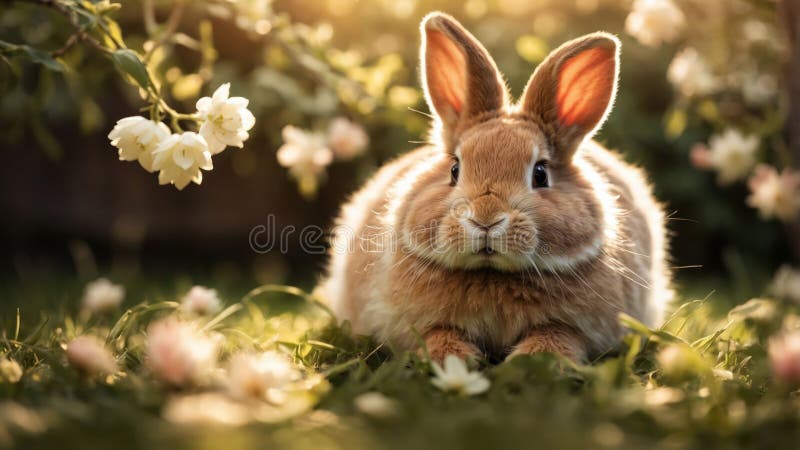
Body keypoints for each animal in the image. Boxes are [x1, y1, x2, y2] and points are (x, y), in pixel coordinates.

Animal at [321, 12, 671, 363]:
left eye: (540, 174)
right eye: (455, 169)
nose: (485, 220)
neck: (491, 275)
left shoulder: (576, 327)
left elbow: (558, 335)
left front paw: (534, 359)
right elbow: (436, 335)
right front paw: (454, 359)